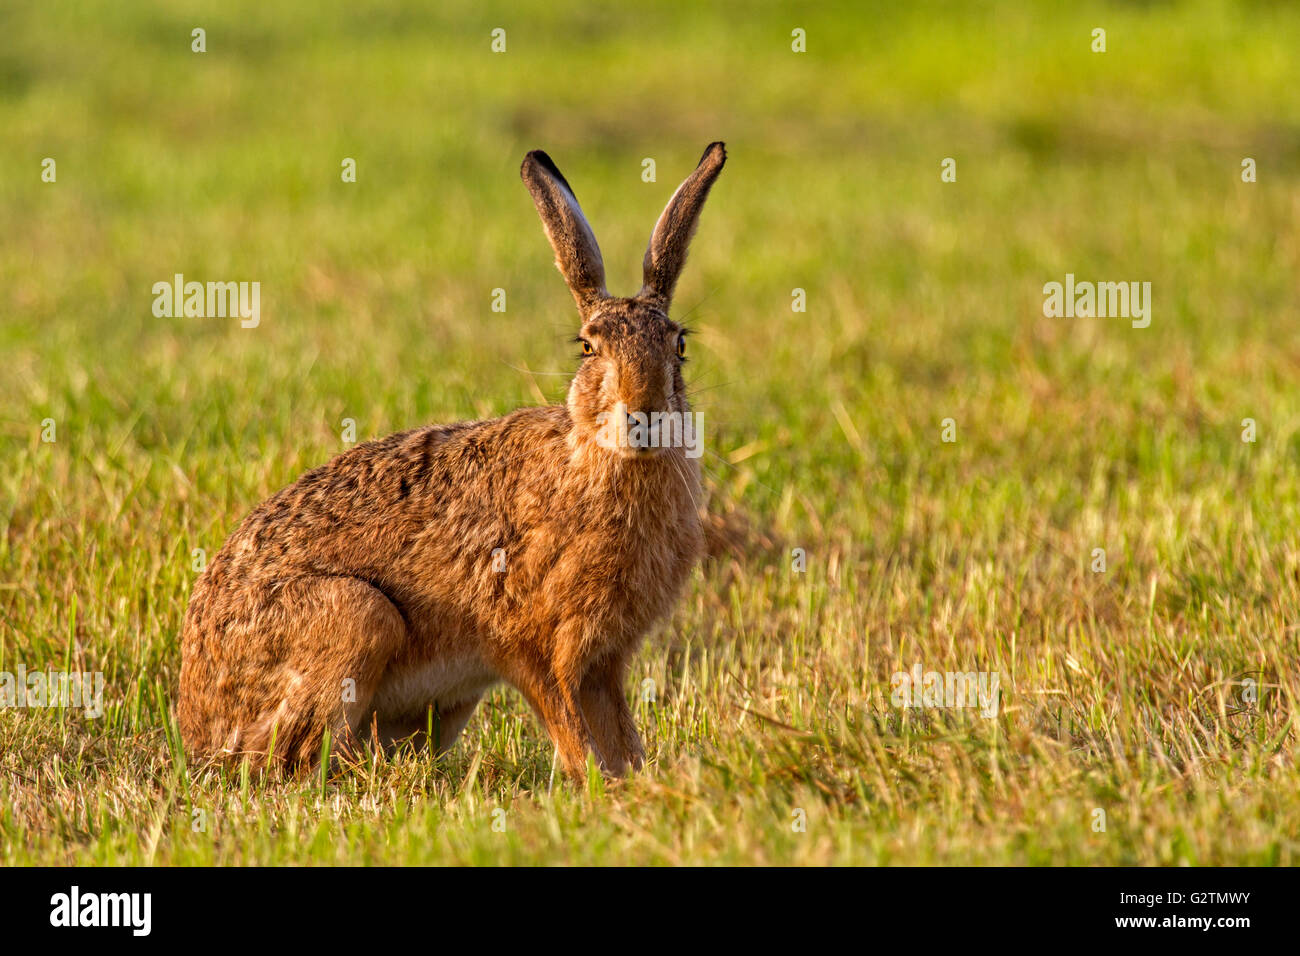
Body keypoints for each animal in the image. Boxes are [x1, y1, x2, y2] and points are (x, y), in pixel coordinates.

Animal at [179, 142, 727, 778]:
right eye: (588, 348)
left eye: (679, 346)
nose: (644, 412)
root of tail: (195, 718)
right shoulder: (531, 643)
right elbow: (567, 725)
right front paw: (594, 782)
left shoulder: (603, 660)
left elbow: (617, 731)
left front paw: (634, 778)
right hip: (357, 616)